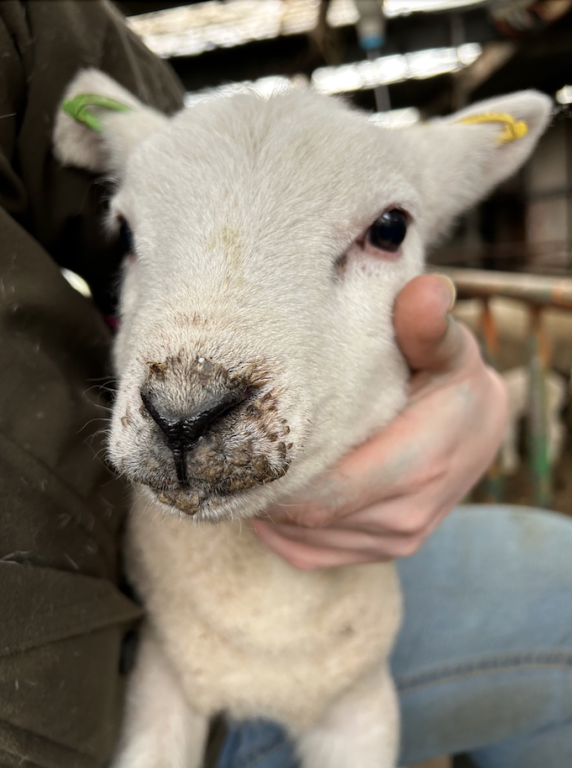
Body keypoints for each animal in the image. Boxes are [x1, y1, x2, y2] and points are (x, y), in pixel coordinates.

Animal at [53, 70, 551, 768]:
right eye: (123, 234)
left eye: (391, 229)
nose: (184, 414)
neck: (270, 619)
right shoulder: (161, 676)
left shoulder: (361, 705)